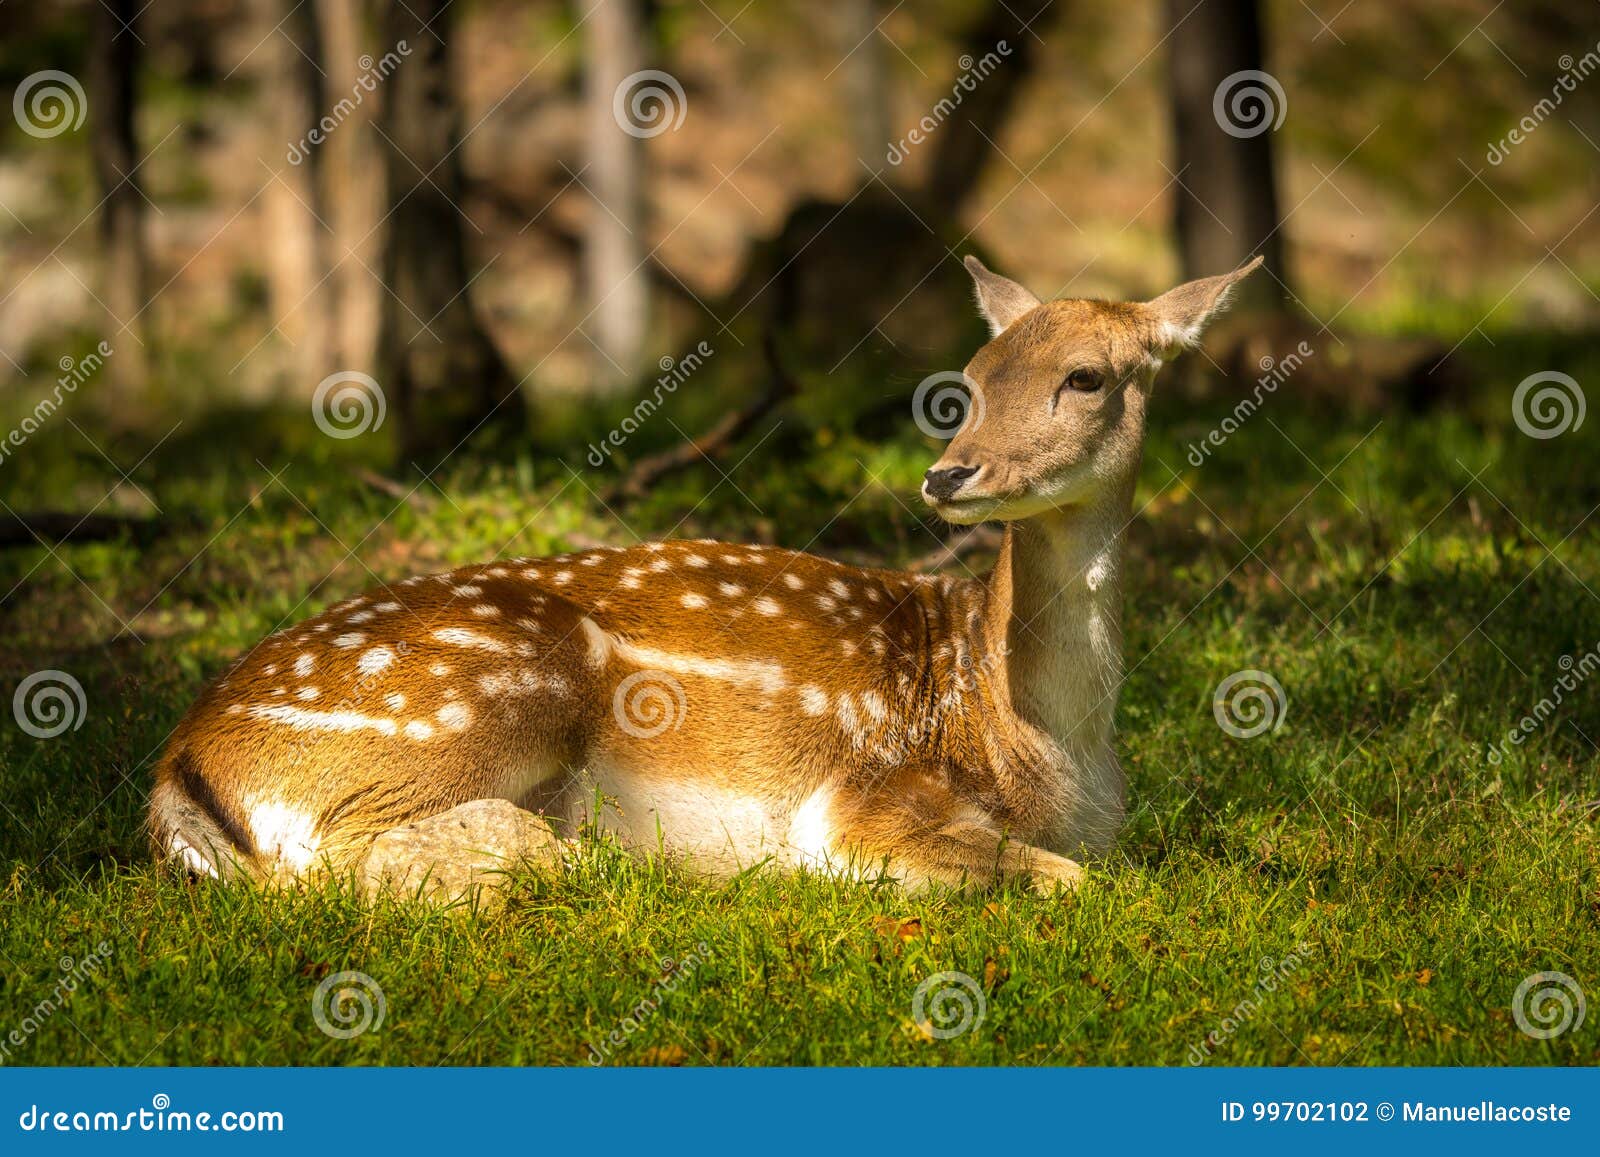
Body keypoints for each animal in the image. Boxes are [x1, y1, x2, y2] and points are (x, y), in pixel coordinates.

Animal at [149, 255, 1262, 893]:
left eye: (1087, 376)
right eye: (972, 380)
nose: (950, 474)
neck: (1034, 740)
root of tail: (181, 761)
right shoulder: (866, 798)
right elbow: (1077, 883)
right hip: (472, 702)